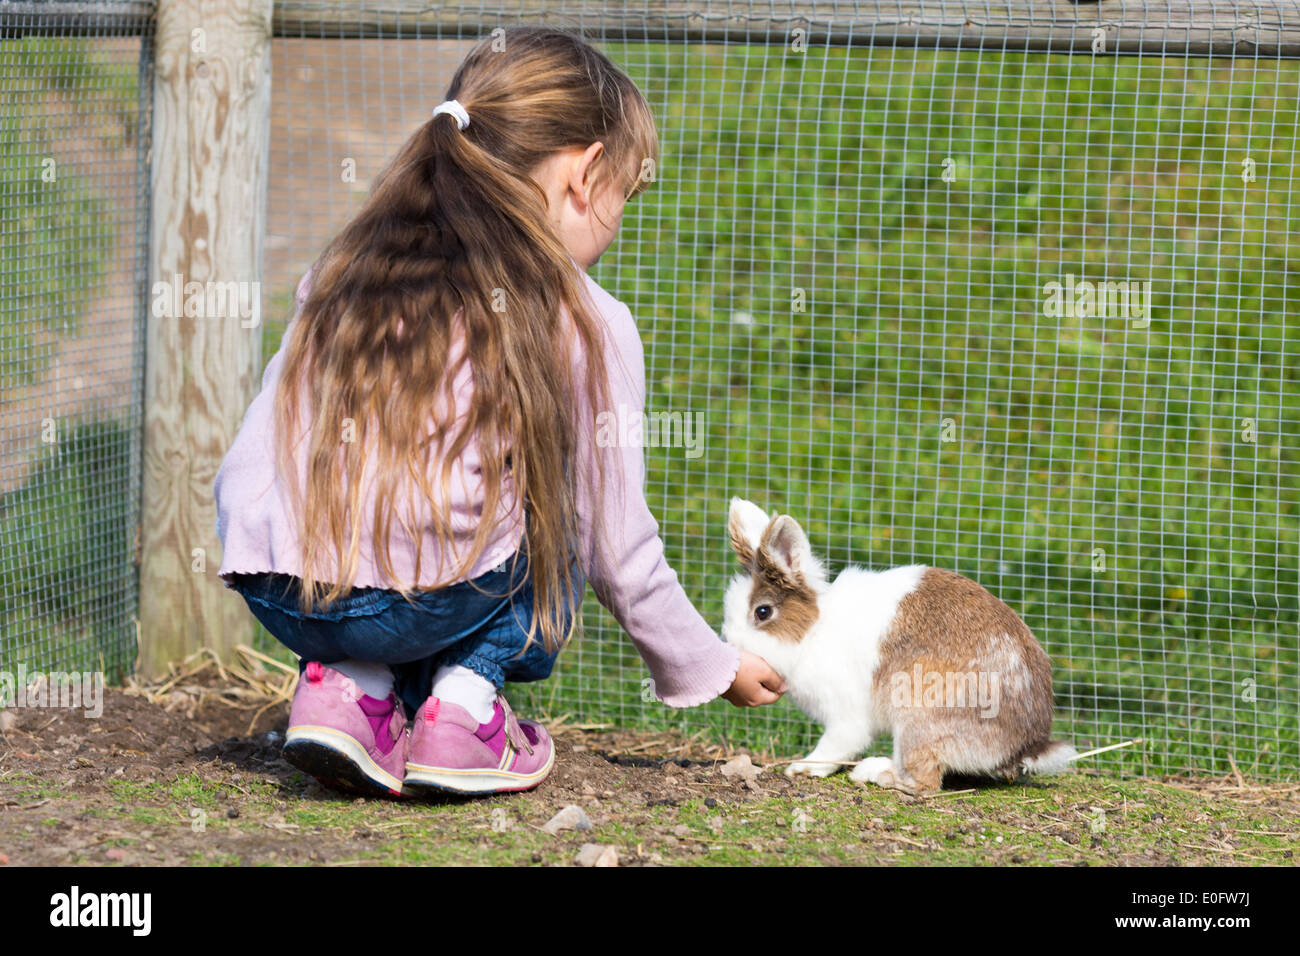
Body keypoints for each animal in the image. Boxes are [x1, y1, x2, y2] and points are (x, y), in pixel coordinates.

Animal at [721, 497, 1077, 795]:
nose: (732, 647)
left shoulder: (846, 716)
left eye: (762, 612)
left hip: (918, 719)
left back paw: (872, 771)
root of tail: (1025, 746)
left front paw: (802, 768)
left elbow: (837, 744)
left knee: (924, 782)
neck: (812, 633)